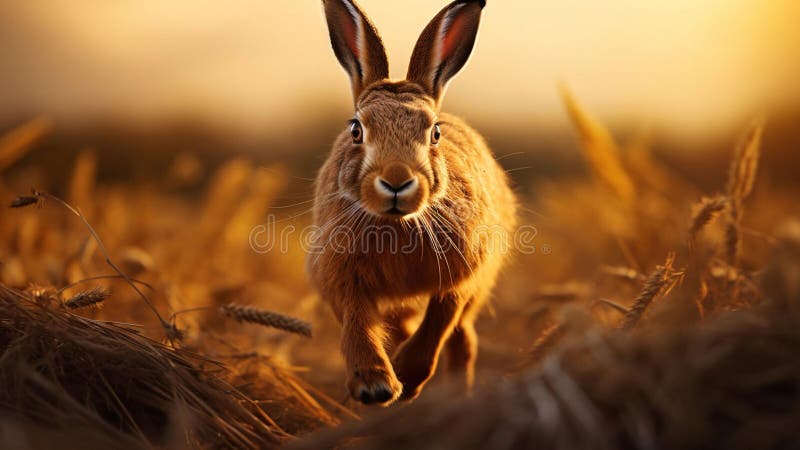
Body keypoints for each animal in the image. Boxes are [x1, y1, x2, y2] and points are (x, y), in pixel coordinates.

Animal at [308, 0, 517, 406]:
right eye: (356, 129)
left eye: (434, 133)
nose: (396, 182)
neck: (397, 223)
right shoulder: (341, 277)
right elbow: (357, 324)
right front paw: (376, 383)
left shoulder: (462, 278)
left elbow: (437, 324)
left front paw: (405, 376)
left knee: (462, 341)